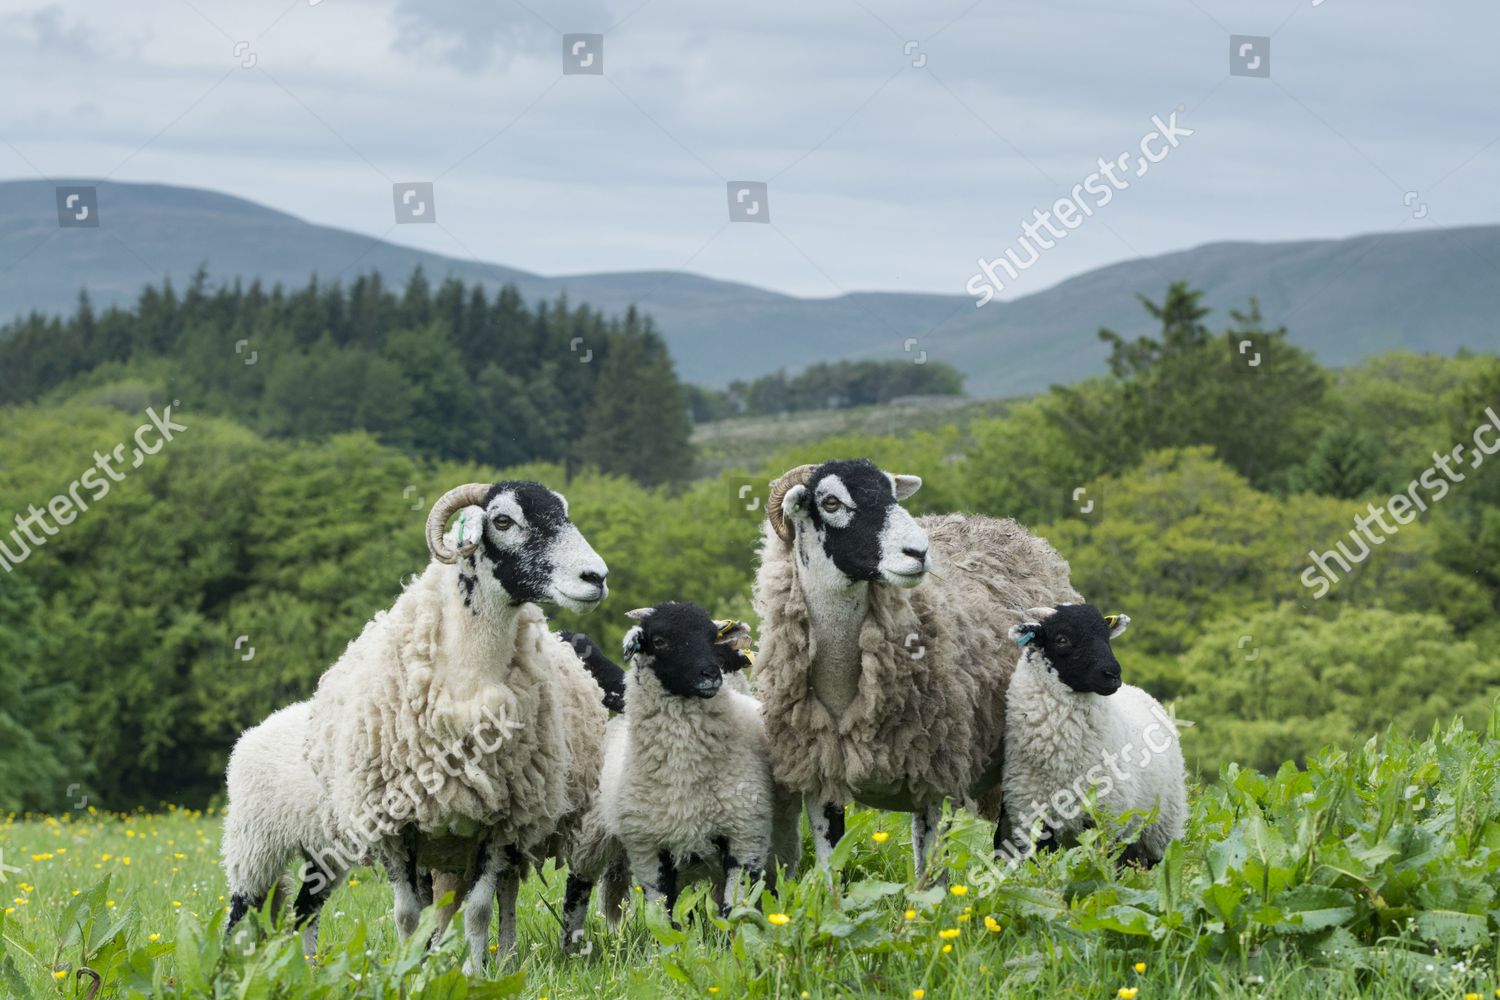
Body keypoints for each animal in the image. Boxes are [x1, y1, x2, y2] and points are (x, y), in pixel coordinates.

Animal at [299, 481, 613, 971]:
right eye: (502, 521)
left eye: (563, 513)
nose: (595, 577)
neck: (469, 683)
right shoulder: (395, 826)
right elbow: (407, 914)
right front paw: (410, 970)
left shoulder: (502, 823)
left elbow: (481, 909)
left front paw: (476, 972)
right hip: (436, 843)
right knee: (434, 904)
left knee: (503, 894)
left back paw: (504, 958)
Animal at [561, 603, 795, 946]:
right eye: (659, 641)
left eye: (712, 638)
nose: (710, 675)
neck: (686, 775)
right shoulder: (649, 849)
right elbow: (662, 915)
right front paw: (668, 951)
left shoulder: (745, 837)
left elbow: (734, 908)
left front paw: (732, 946)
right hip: (589, 835)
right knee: (577, 889)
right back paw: (572, 946)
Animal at [753, 459, 1082, 880]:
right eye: (830, 502)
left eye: (893, 494)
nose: (919, 552)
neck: (843, 686)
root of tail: (1012, 530)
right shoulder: (820, 778)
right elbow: (830, 874)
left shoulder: (933, 778)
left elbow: (932, 878)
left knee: (1013, 840)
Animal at [1001, 604, 1187, 866]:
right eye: (1062, 639)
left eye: (1107, 636)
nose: (1113, 674)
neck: (1063, 761)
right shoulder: (1034, 819)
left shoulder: (1105, 818)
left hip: (1161, 827)